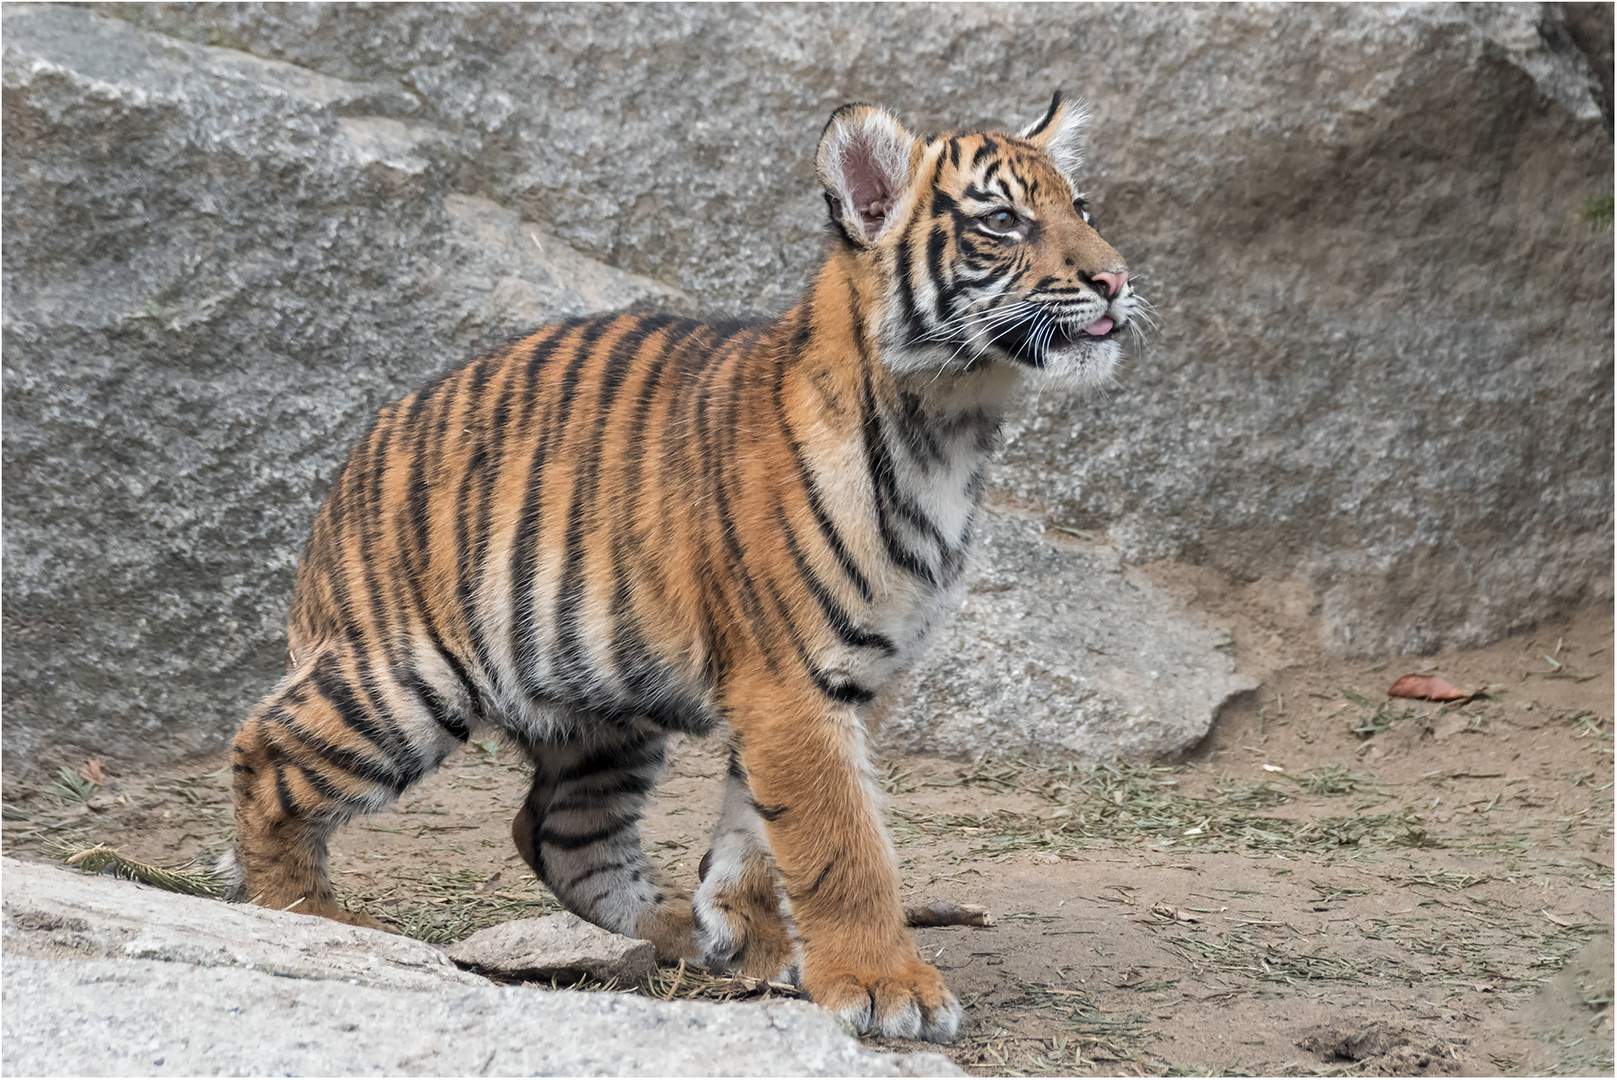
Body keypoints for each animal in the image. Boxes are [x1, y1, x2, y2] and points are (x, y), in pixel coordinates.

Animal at [227, 91, 1140, 1042]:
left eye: (1082, 209)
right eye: (1002, 221)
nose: (1115, 280)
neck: (951, 424)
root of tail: (355, 458)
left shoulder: (853, 677)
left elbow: (759, 828)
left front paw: (748, 932)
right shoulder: (792, 679)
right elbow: (841, 841)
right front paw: (885, 986)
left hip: (600, 706)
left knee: (555, 831)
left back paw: (675, 929)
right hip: (404, 680)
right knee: (268, 755)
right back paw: (308, 917)